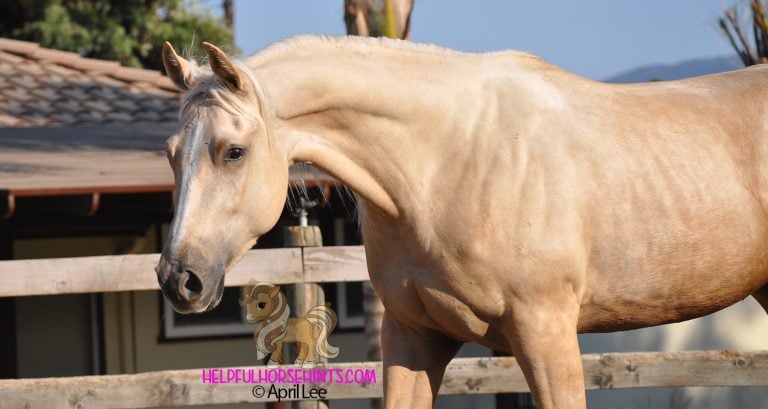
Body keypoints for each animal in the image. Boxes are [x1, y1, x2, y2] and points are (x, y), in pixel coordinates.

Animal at [154, 36, 768, 408]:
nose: (179, 278)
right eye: (170, 153)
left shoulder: (547, 335)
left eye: (233, 152)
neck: (448, 162)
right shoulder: (412, 337)